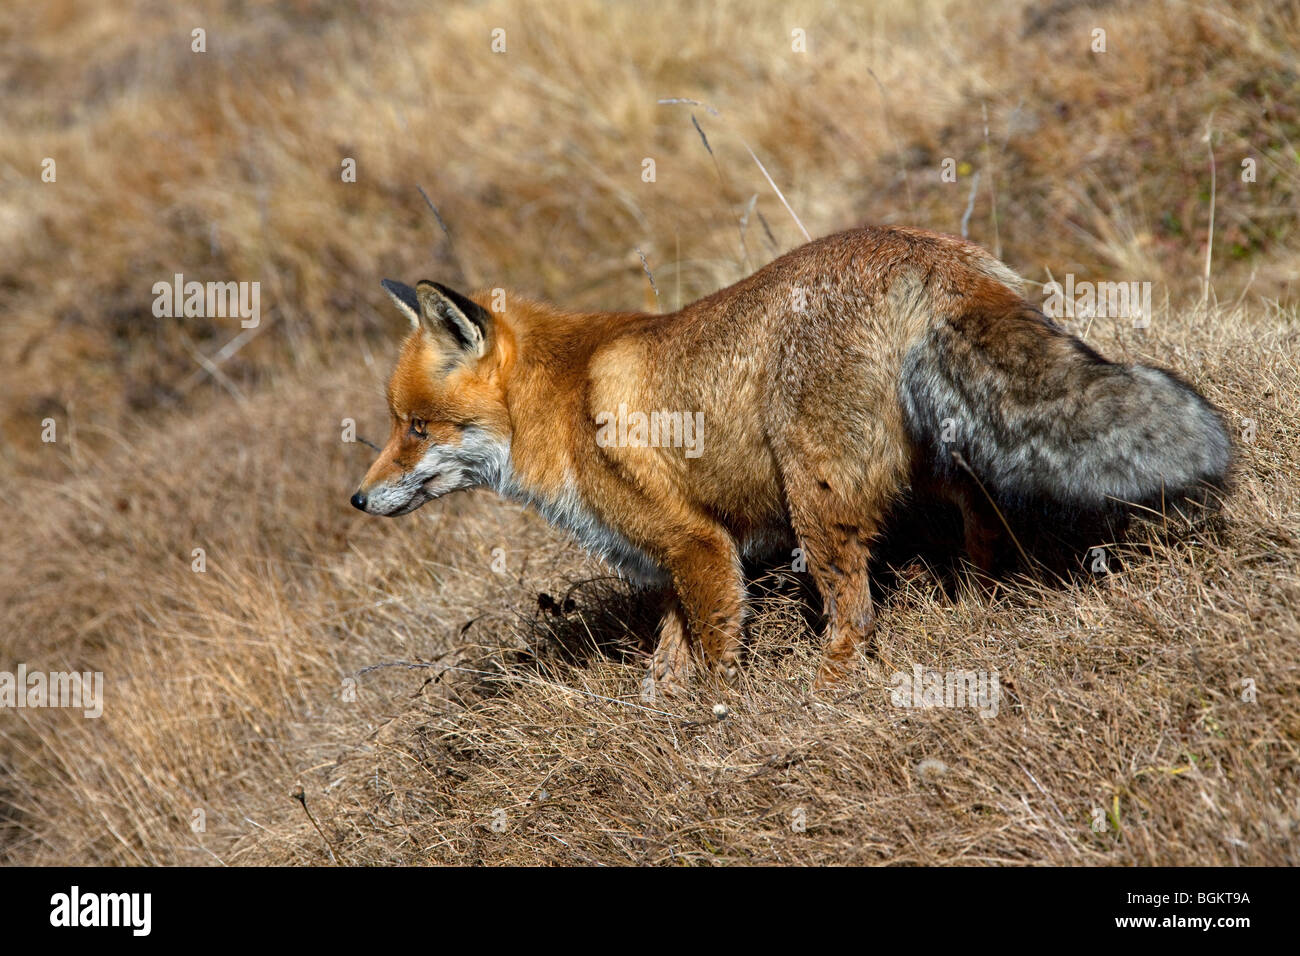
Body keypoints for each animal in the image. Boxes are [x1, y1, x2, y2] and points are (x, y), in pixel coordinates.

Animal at [351, 226, 1231, 695]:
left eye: (418, 427)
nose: (358, 502)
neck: (560, 401)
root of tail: (931, 251)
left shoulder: (700, 547)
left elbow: (713, 659)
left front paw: (717, 726)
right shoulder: (674, 561)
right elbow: (667, 661)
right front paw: (658, 714)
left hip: (816, 495)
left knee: (857, 614)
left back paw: (826, 688)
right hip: (943, 458)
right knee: (987, 525)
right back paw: (982, 601)